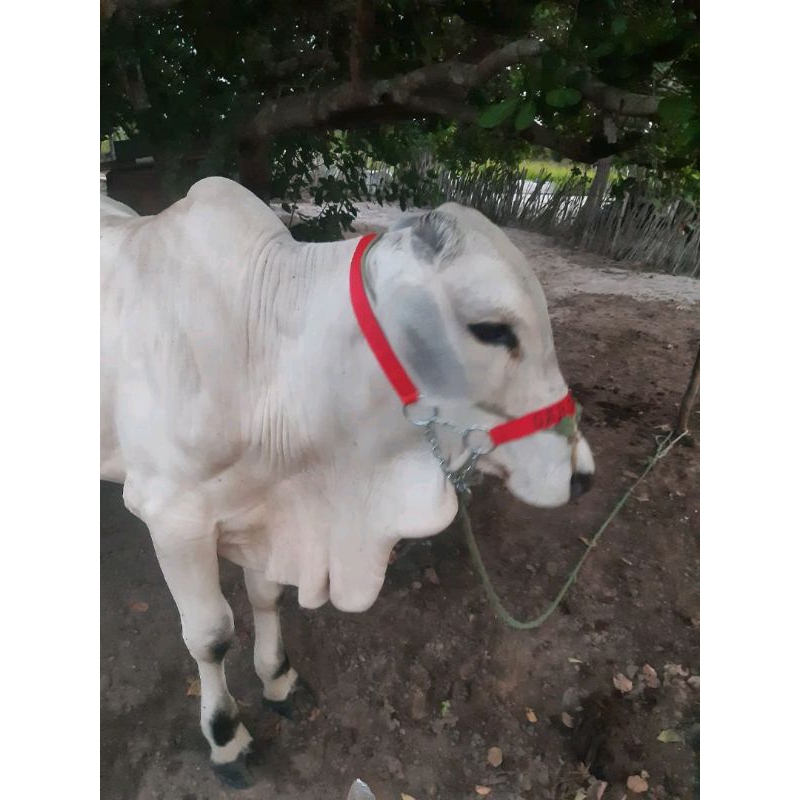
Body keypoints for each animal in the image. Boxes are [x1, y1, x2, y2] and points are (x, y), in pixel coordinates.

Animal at [100, 176, 595, 787]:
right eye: (492, 330)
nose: (581, 474)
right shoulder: (173, 518)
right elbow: (210, 636)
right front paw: (226, 739)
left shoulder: (263, 512)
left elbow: (267, 596)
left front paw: (279, 679)